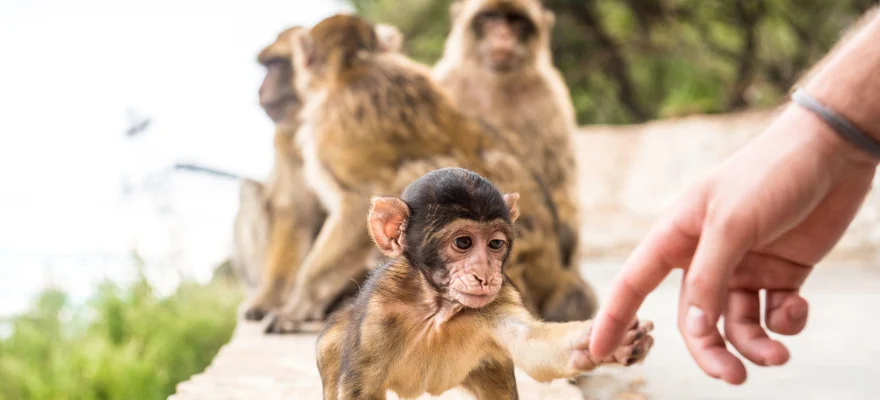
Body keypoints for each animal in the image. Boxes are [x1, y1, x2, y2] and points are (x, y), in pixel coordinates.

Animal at [316, 168, 655, 400]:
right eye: (463, 242)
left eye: (495, 244)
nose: (486, 275)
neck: (437, 308)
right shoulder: (378, 313)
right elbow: (360, 386)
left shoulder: (501, 299)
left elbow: (532, 345)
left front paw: (611, 341)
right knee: (329, 345)